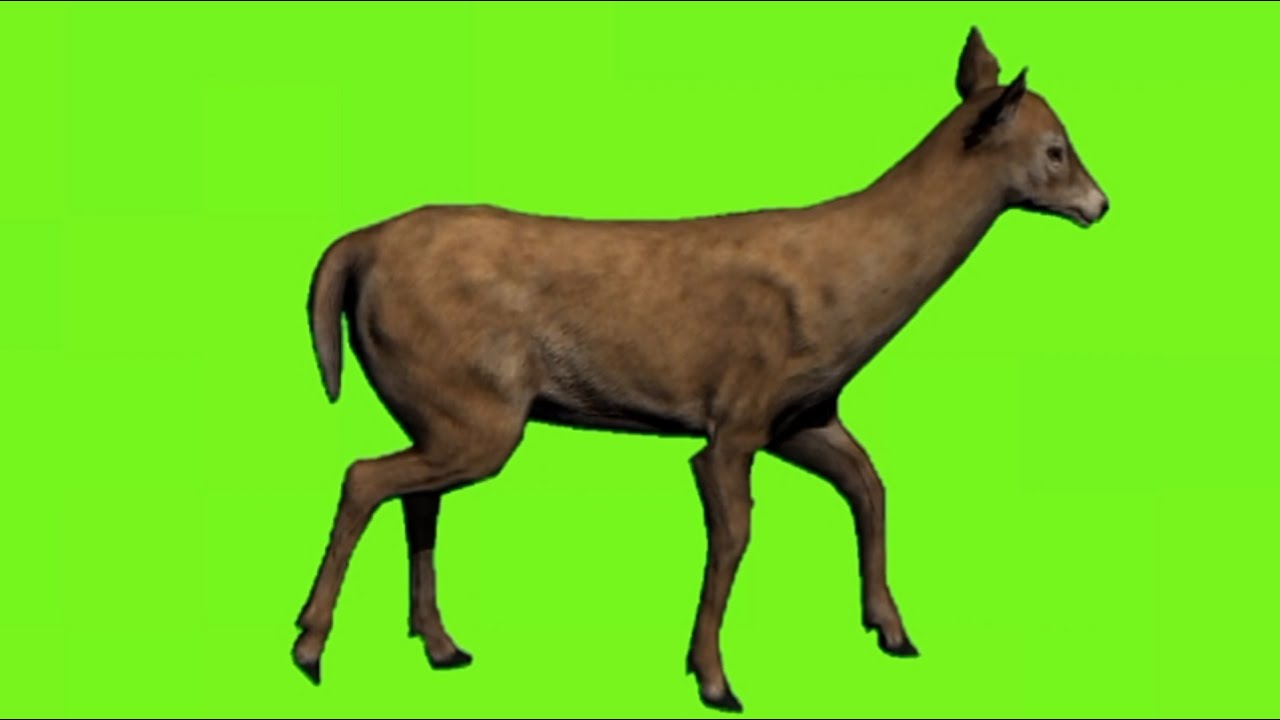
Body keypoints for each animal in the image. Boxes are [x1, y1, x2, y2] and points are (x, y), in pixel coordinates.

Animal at [291, 26, 1109, 713]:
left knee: (415, 498)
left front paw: (892, 629)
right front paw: (714, 680)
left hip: (442, 403)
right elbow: (737, 533)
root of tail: (355, 245)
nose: (1099, 204)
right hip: (477, 407)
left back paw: (440, 646)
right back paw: (309, 645)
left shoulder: (804, 413)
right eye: (1056, 148)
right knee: (365, 477)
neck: (850, 287)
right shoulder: (739, 409)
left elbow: (869, 487)